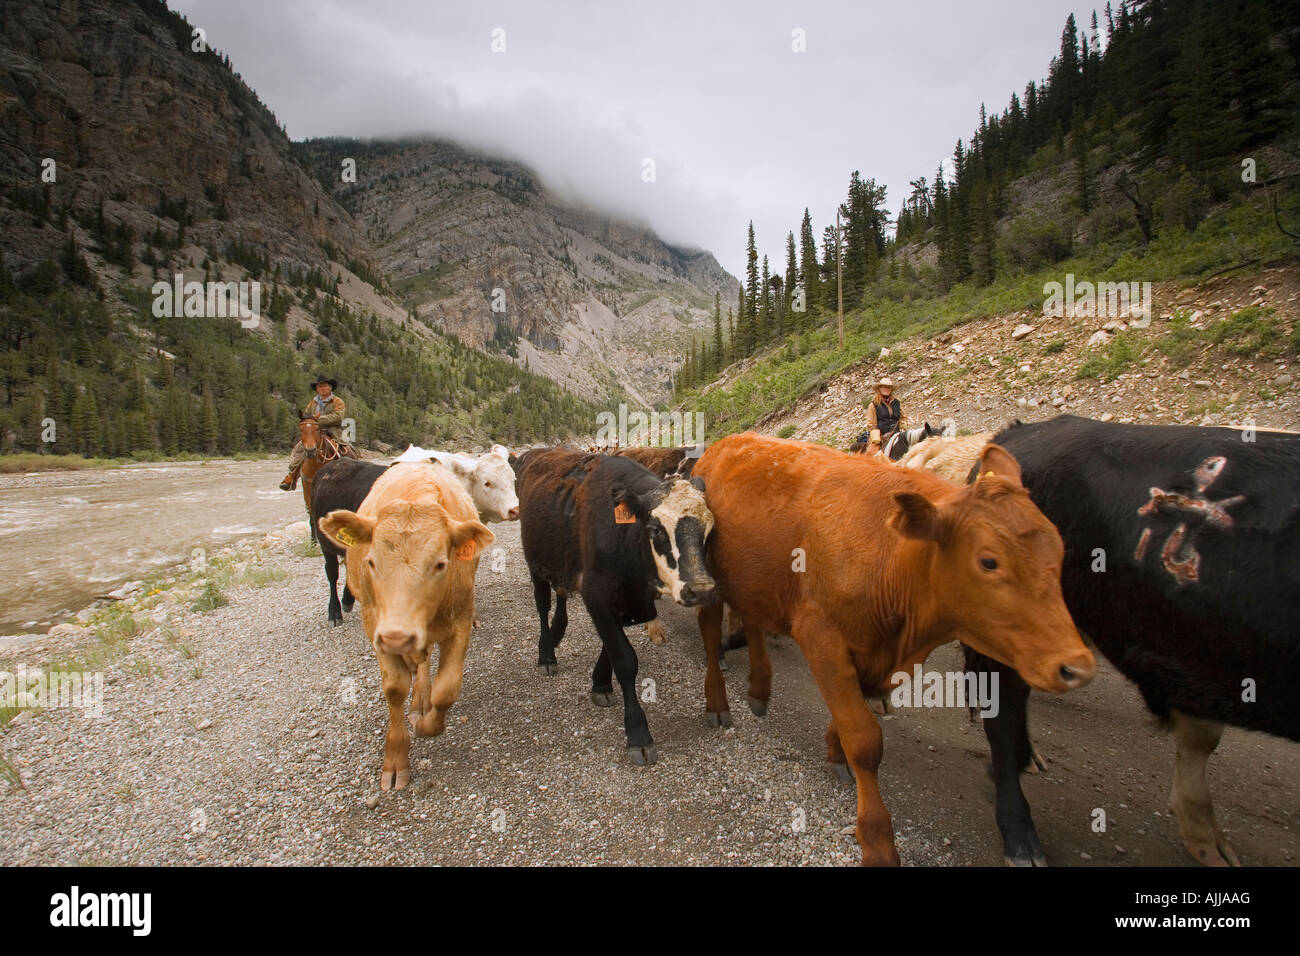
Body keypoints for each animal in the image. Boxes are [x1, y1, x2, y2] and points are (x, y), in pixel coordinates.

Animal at [310, 446, 518, 626]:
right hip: (325, 545)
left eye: (513, 479)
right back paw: (335, 612)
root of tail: (333, 466)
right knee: (332, 573)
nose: (515, 509)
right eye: (487, 483)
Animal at [316, 462, 494, 791]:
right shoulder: (374, 624)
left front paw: (427, 724)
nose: (397, 637)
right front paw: (396, 759)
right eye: (371, 562)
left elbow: (447, 689)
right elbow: (394, 688)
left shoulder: (461, 621)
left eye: (440, 564)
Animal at [515, 449, 716, 765]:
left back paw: (558, 633)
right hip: (535, 563)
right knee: (542, 603)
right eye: (656, 529)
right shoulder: (597, 595)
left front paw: (600, 683)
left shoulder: (628, 601)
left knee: (561, 594)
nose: (702, 590)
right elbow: (624, 658)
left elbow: (609, 648)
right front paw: (638, 734)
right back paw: (546, 653)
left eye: (709, 529)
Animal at [692, 432, 1096, 865]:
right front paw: (877, 841)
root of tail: (726, 443)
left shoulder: (878, 656)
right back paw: (718, 703)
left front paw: (835, 751)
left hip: (754, 582)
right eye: (989, 561)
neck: (891, 555)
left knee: (751, 623)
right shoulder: (821, 637)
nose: (1077, 666)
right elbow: (864, 739)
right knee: (710, 633)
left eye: (1059, 548)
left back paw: (759, 689)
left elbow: (853, 715)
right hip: (709, 583)